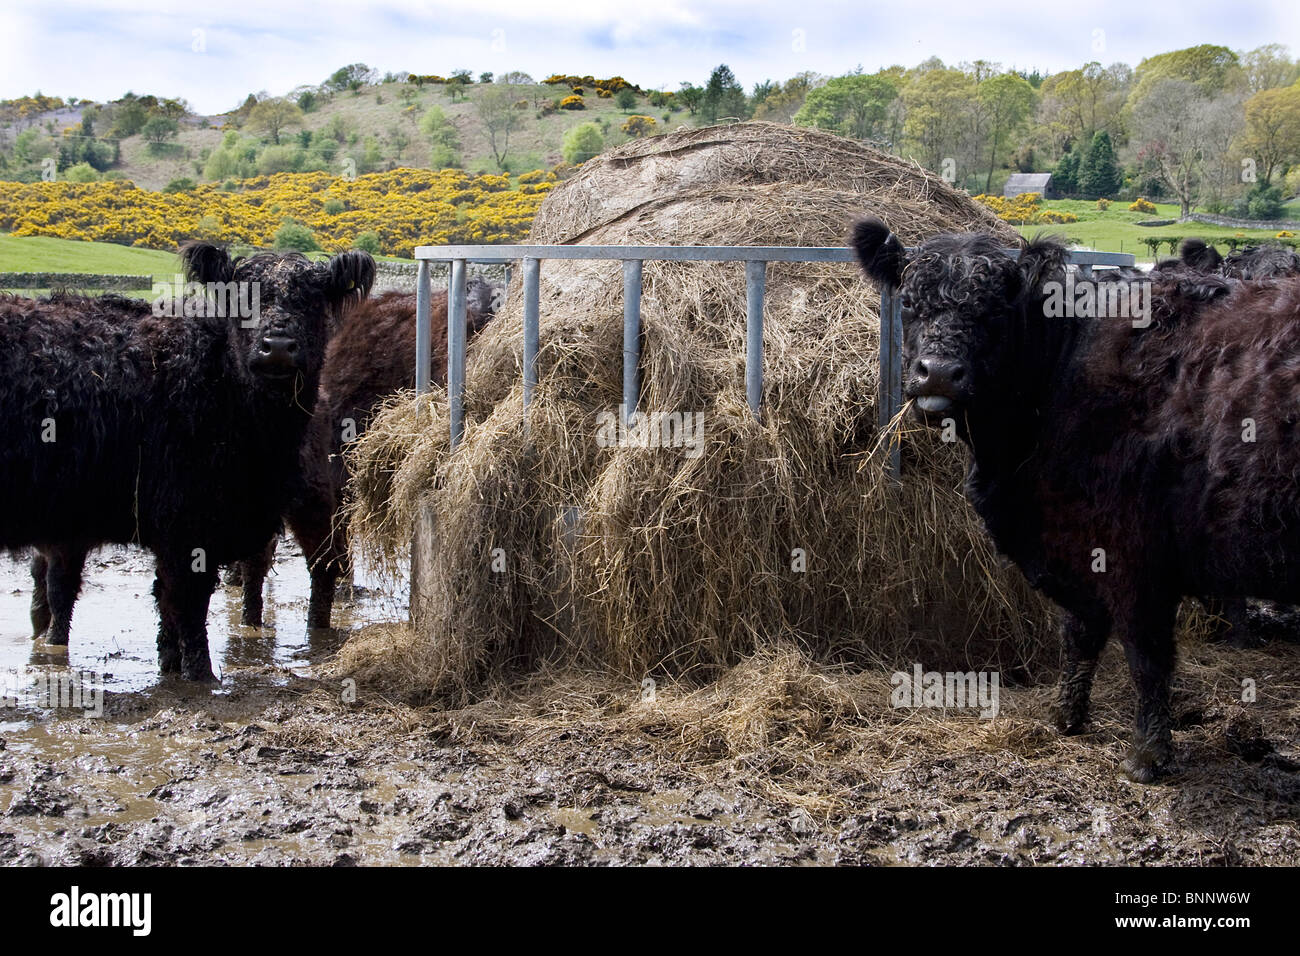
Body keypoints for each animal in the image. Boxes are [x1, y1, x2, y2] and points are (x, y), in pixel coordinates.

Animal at [3, 244, 374, 680]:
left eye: (312, 297)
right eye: (239, 296)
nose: (278, 346)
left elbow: (176, 604)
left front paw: (183, 671)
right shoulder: (181, 520)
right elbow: (179, 603)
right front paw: (193, 673)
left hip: (314, 499)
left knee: (320, 562)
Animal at [851, 217, 1300, 782]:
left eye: (996, 308)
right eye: (910, 302)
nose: (937, 373)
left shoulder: (1133, 552)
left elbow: (1146, 654)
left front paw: (1148, 756)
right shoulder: (1075, 541)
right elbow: (1079, 633)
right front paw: (1066, 716)